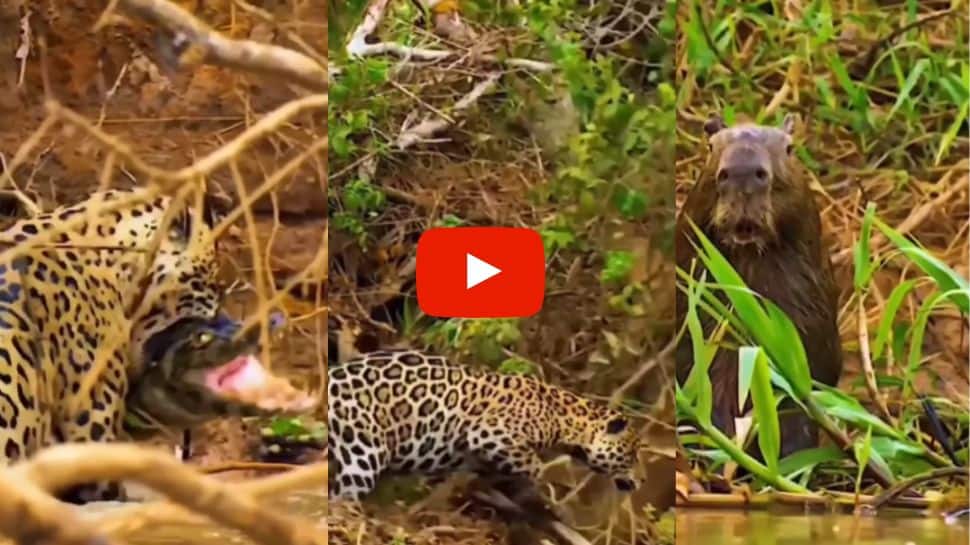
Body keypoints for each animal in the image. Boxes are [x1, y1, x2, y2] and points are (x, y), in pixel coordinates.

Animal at [328, 348, 642, 501]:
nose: (641, 482)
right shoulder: (492, 432)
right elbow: (534, 464)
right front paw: (546, 485)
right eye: (633, 454)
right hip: (362, 452)